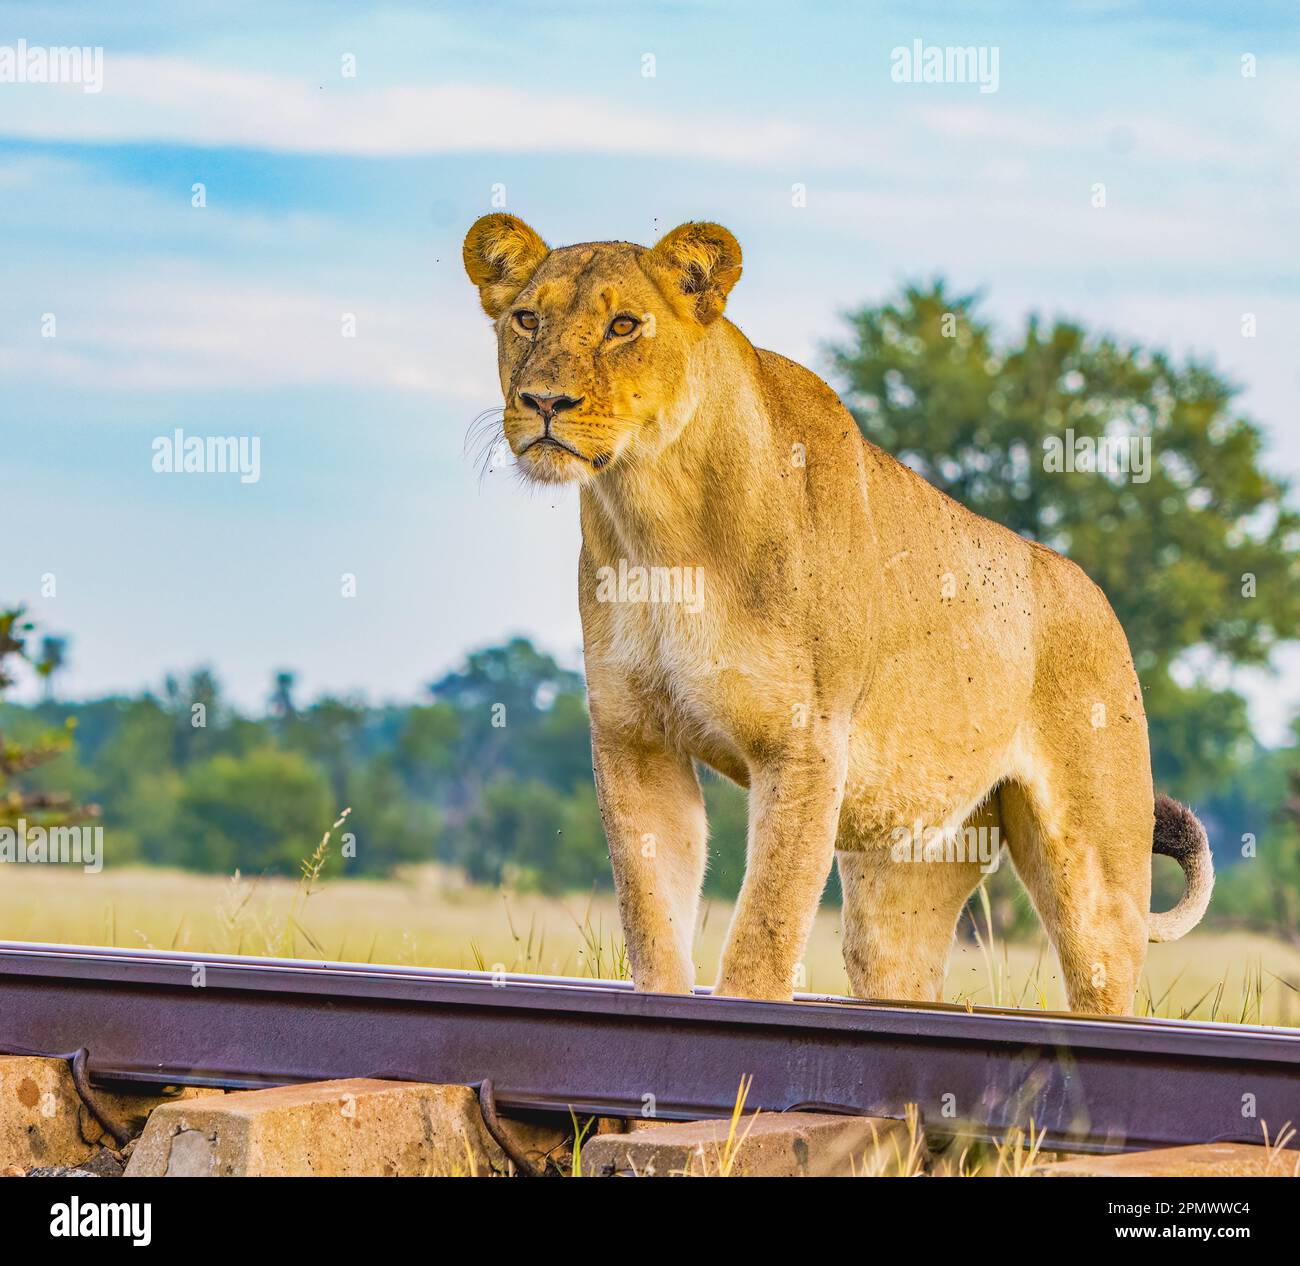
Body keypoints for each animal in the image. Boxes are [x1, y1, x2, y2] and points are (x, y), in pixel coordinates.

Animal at [462, 213, 1213, 1014]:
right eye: (526, 319)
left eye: (624, 325)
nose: (544, 402)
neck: (658, 520)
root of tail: (1093, 592)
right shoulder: (635, 737)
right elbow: (651, 915)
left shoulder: (805, 745)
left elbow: (764, 929)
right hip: (906, 873)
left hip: (1095, 872)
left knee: (1104, 979)